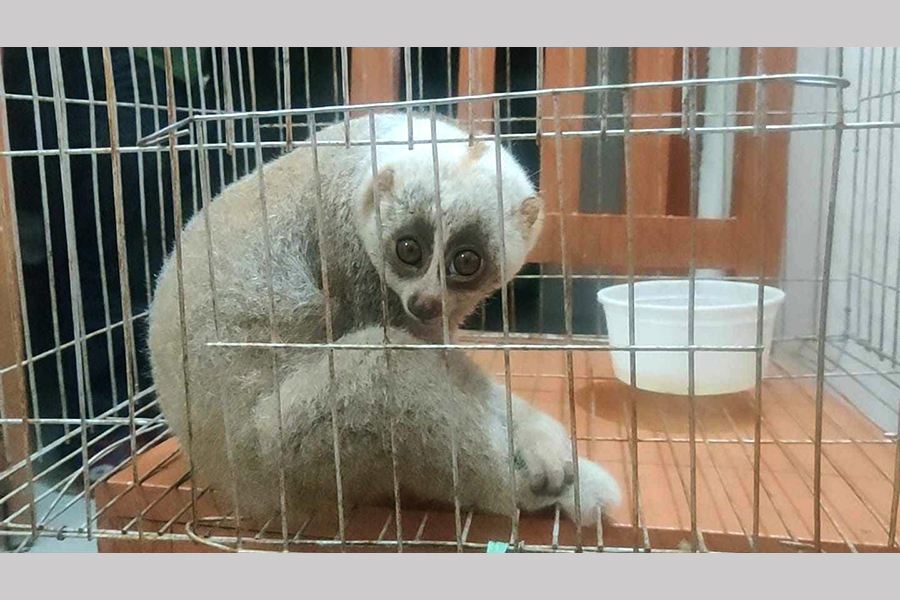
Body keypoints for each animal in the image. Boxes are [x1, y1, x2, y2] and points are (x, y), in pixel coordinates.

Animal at [147, 112, 621, 531]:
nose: (425, 302)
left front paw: (543, 438)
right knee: (381, 372)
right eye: (408, 250)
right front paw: (543, 452)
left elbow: (445, 357)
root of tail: (228, 485)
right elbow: (417, 351)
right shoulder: (353, 253)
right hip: (272, 457)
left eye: (466, 261)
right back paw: (548, 492)